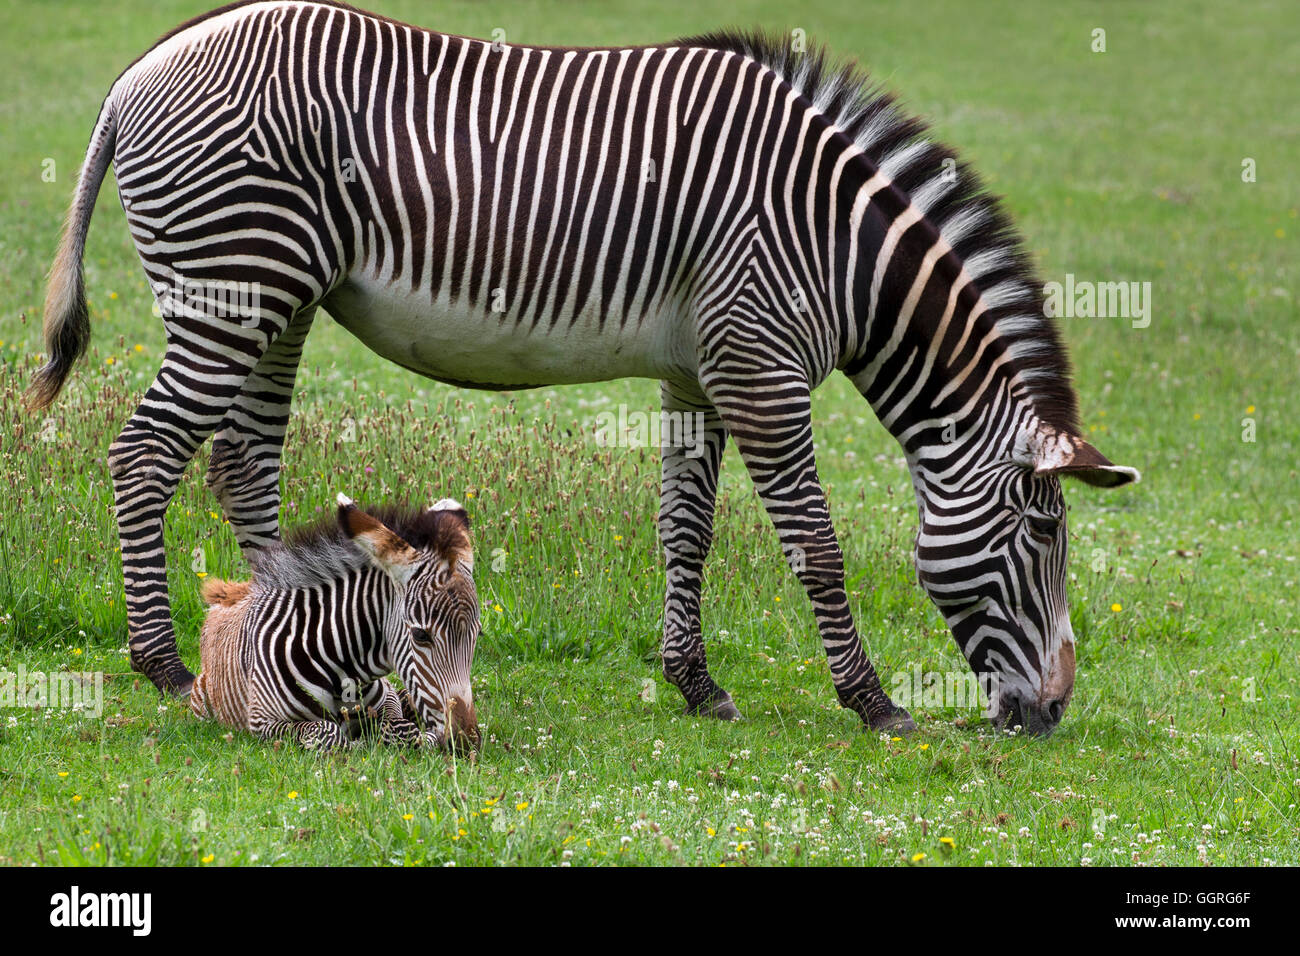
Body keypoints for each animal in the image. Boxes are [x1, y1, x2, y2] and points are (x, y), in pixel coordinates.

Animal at [190, 494, 480, 750]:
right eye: (421, 635)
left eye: (476, 634)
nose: (465, 740)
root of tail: (233, 592)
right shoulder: (262, 721)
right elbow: (327, 732)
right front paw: (361, 744)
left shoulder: (387, 698)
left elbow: (402, 728)